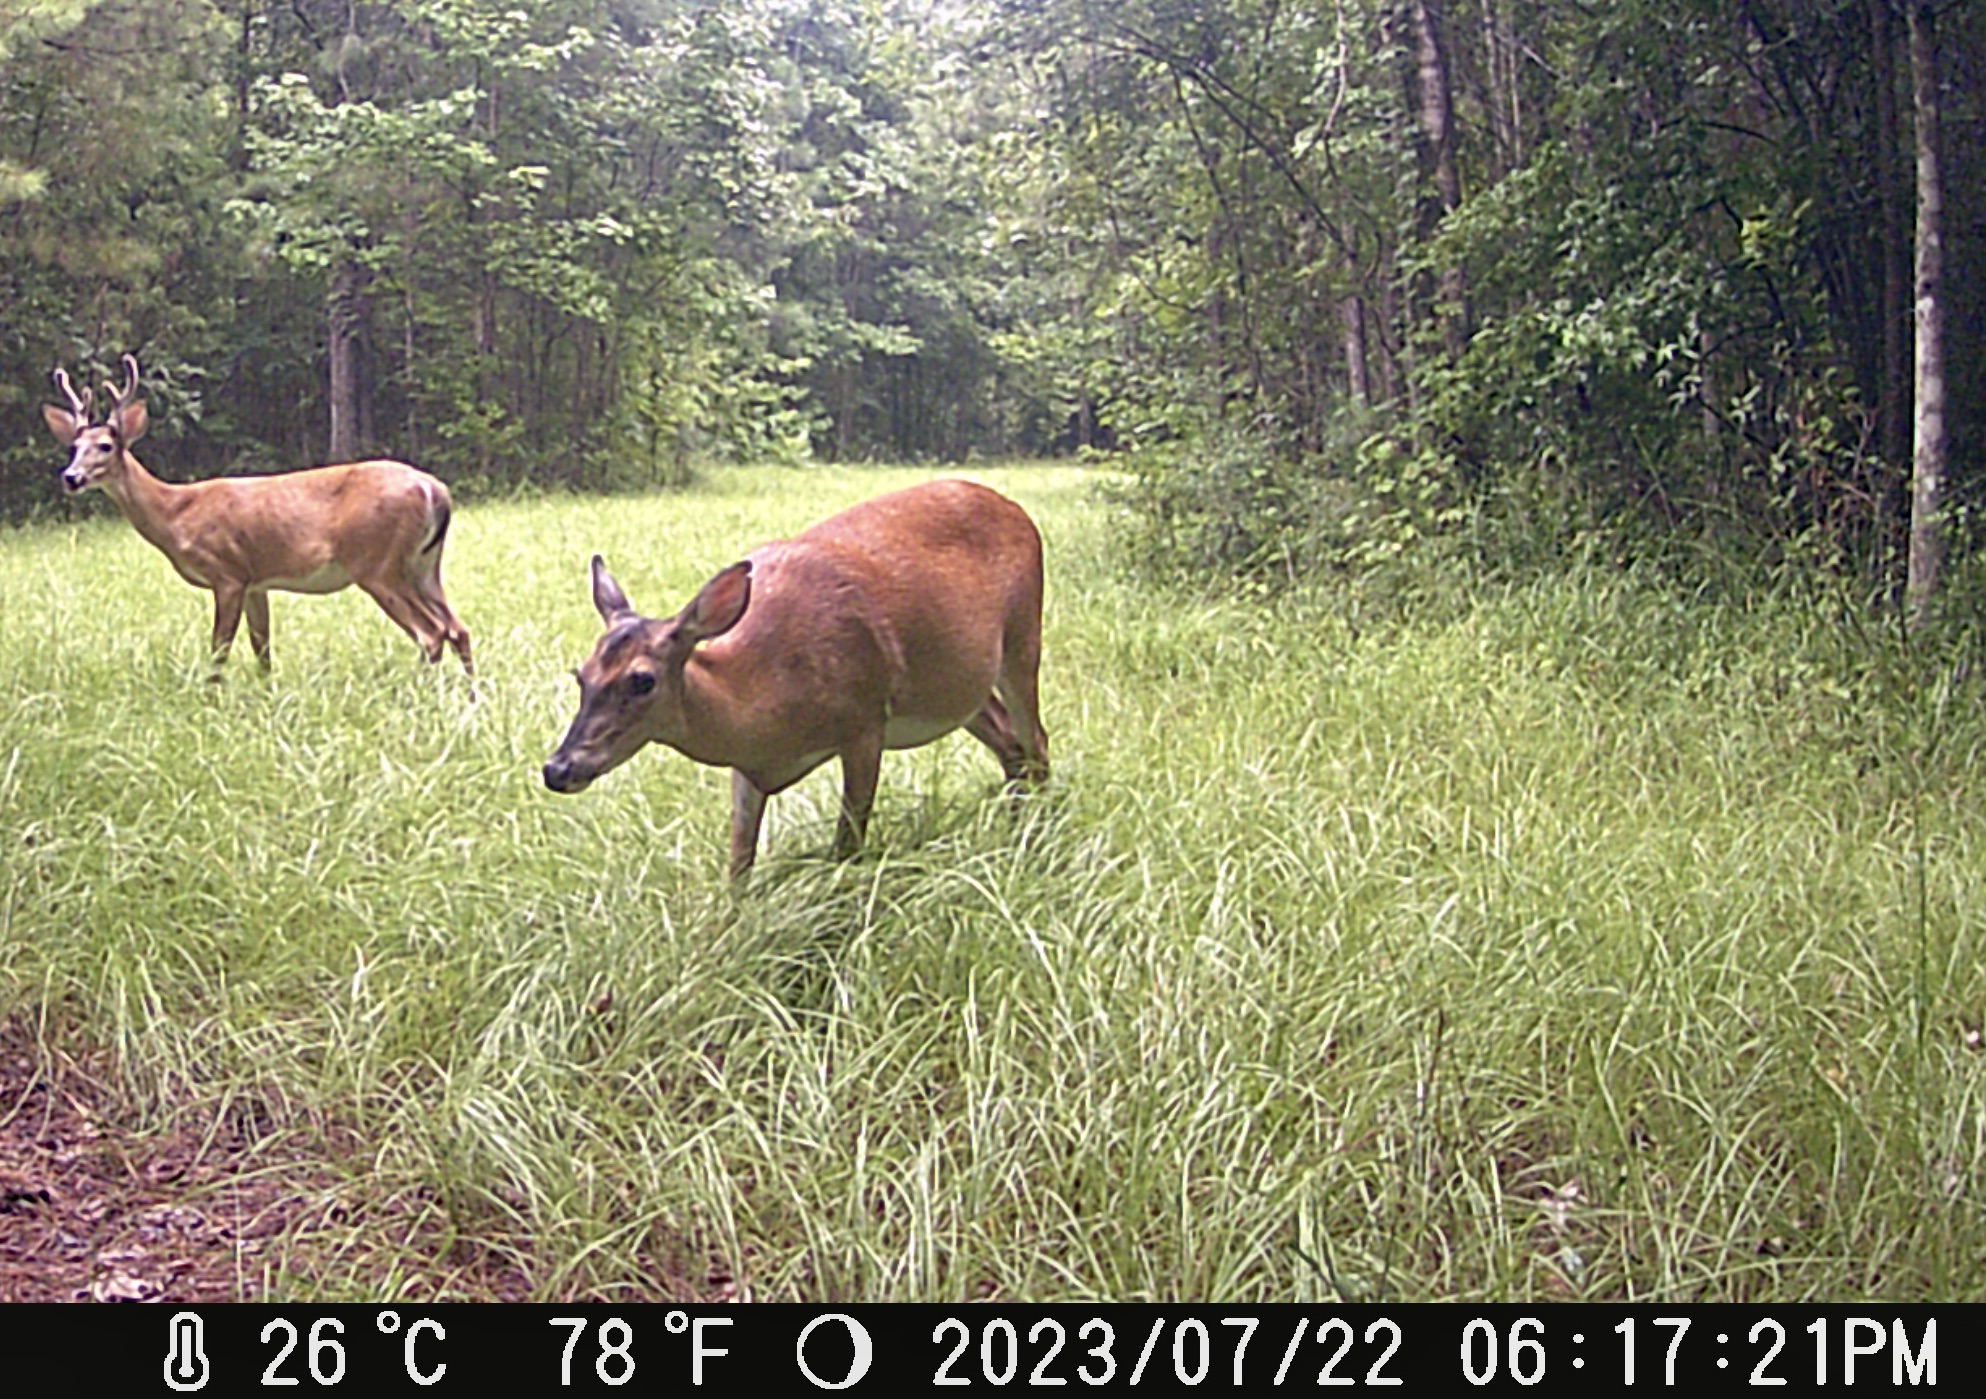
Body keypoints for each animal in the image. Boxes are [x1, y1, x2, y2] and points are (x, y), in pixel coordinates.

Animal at [43, 354, 472, 676]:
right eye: (74, 447)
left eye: (105, 445)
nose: (71, 477)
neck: (177, 513)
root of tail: (434, 490)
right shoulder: (257, 581)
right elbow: (262, 651)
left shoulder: (228, 573)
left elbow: (219, 651)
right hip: (423, 565)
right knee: (458, 628)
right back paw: (468, 699)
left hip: (377, 562)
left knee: (431, 634)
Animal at [543, 478, 1050, 879]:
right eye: (580, 675)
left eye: (642, 681)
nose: (557, 769)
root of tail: (1016, 509)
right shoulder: (746, 769)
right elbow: (738, 867)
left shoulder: (865, 720)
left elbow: (847, 847)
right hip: (962, 689)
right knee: (1010, 745)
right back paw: (1014, 830)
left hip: (1023, 635)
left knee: (1036, 739)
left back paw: (1037, 838)